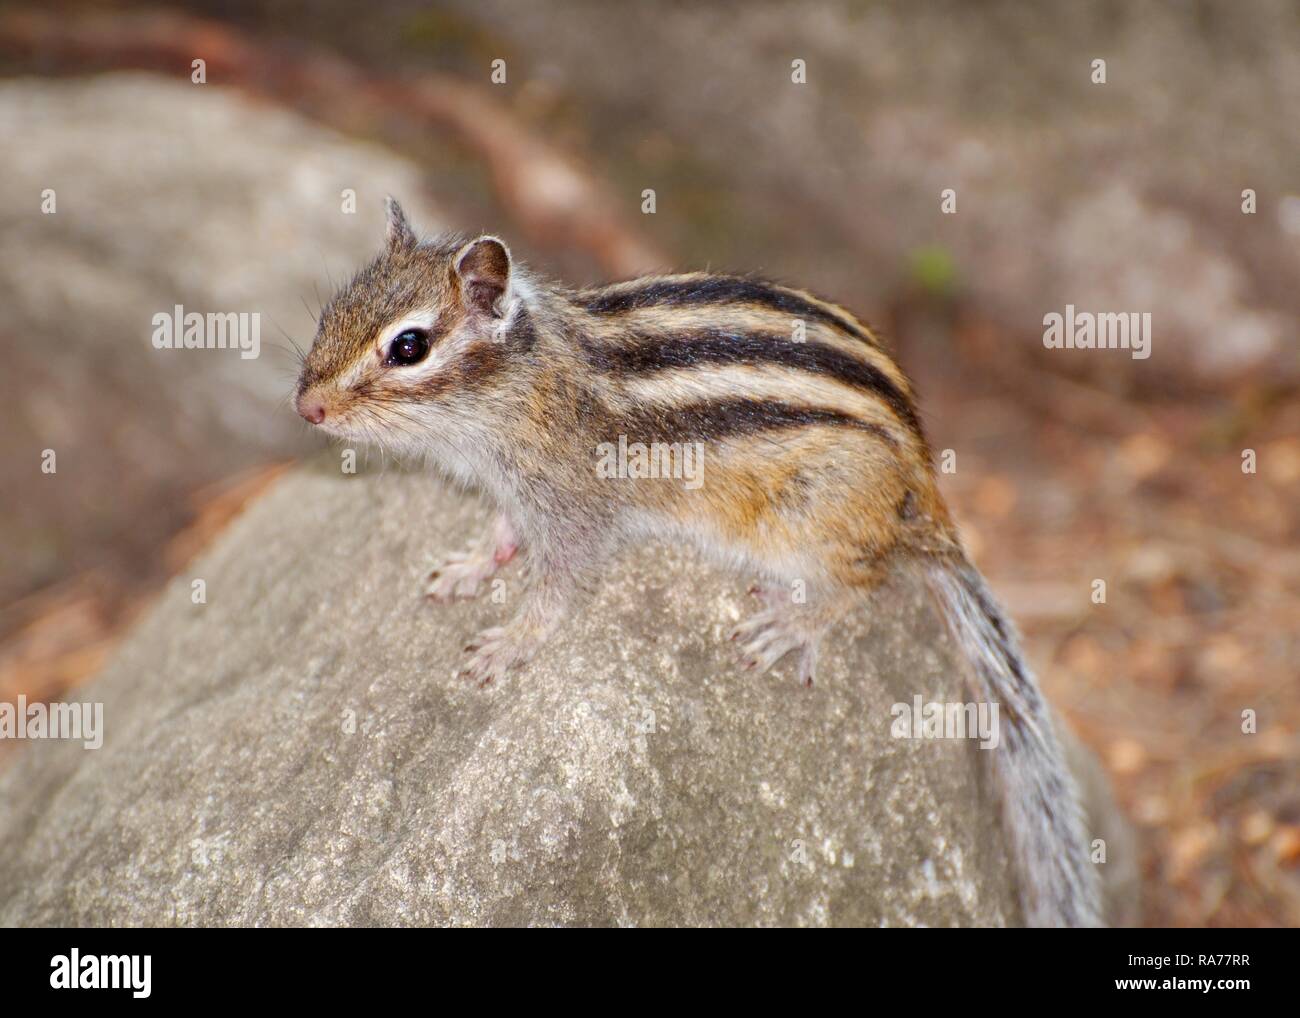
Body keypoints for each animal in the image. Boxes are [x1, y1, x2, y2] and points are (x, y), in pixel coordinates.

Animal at [295, 198, 1104, 928]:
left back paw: (796, 623)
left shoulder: (574, 510)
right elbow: (501, 533)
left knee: (867, 577)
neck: (528, 384)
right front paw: (468, 566)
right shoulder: (516, 494)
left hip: (810, 520)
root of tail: (924, 492)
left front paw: (511, 642)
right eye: (334, 309)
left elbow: (557, 588)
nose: (306, 409)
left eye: (409, 347)